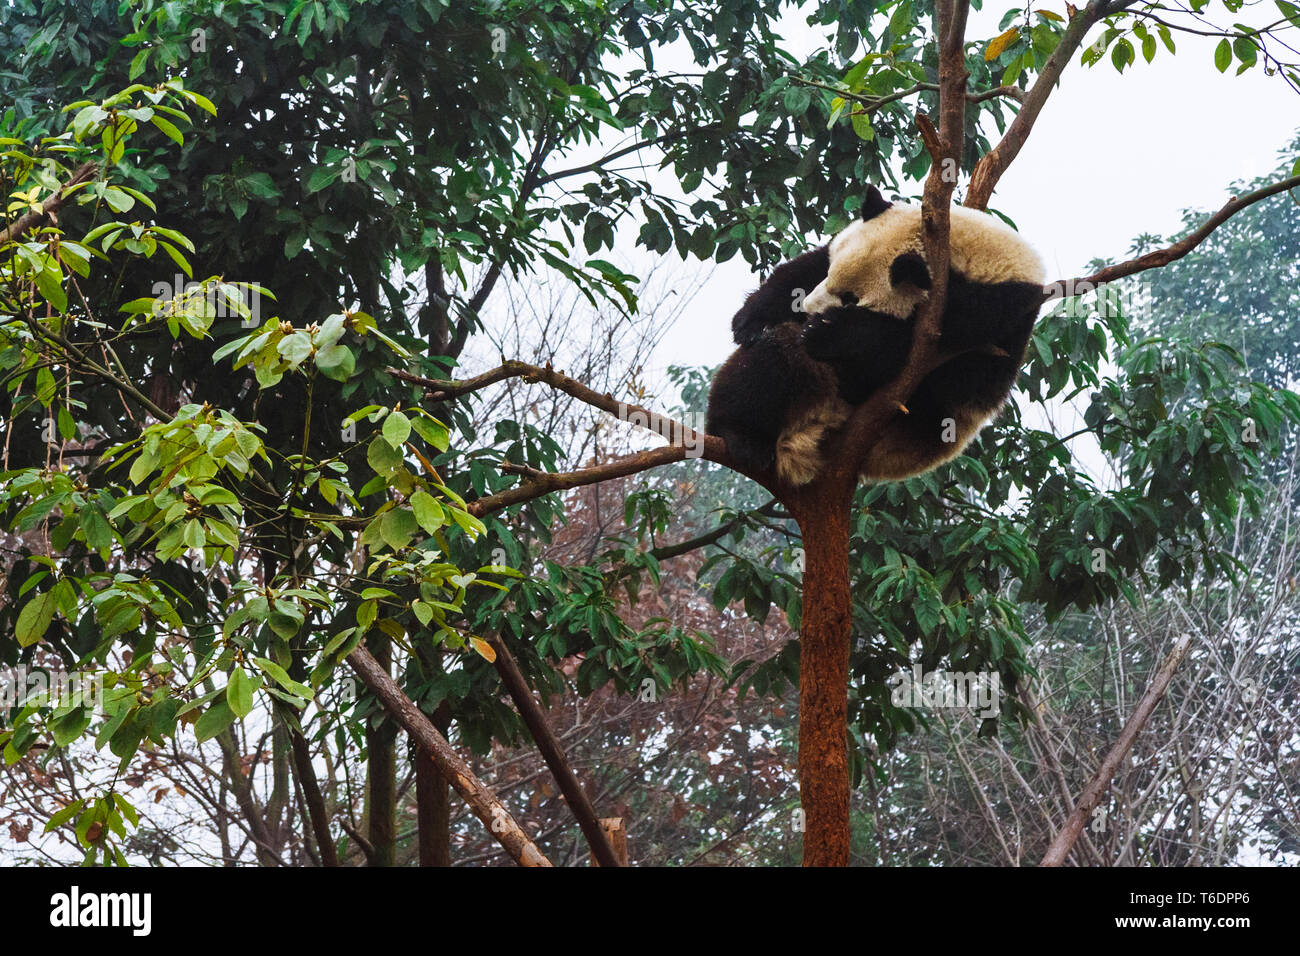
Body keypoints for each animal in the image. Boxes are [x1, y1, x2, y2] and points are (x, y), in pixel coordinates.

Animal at [705, 185, 1046, 485]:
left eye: (851, 298)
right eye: (829, 274)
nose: (807, 308)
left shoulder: (988, 316)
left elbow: (892, 356)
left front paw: (830, 331)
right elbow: (800, 270)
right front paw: (750, 321)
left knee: (789, 354)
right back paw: (739, 433)